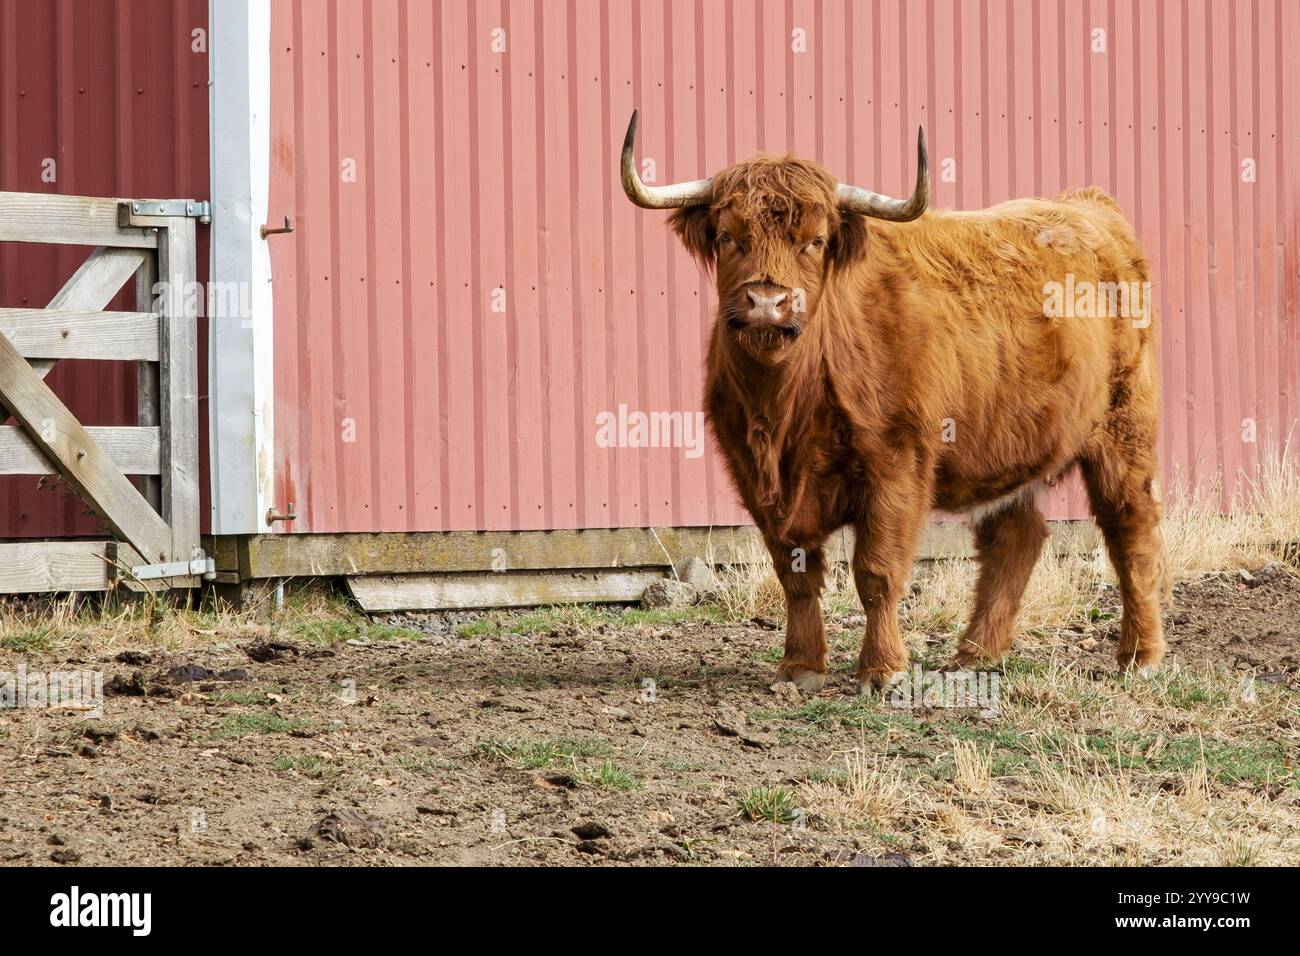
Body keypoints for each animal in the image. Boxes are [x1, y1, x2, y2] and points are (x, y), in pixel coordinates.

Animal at [620, 110, 1168, 696]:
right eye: (728, 236)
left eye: (815, 241)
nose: (768, 302)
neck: (785, 407)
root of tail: (1088, 206)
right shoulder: (756, 478)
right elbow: (795, 575)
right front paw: (800, 666)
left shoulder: (896, 464)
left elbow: (876, 571)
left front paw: (883, 670)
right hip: (1009, 443)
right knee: (1016, 537)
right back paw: (974, 655)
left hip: (1124, 428)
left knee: (1130, 529)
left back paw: (1139, 655)